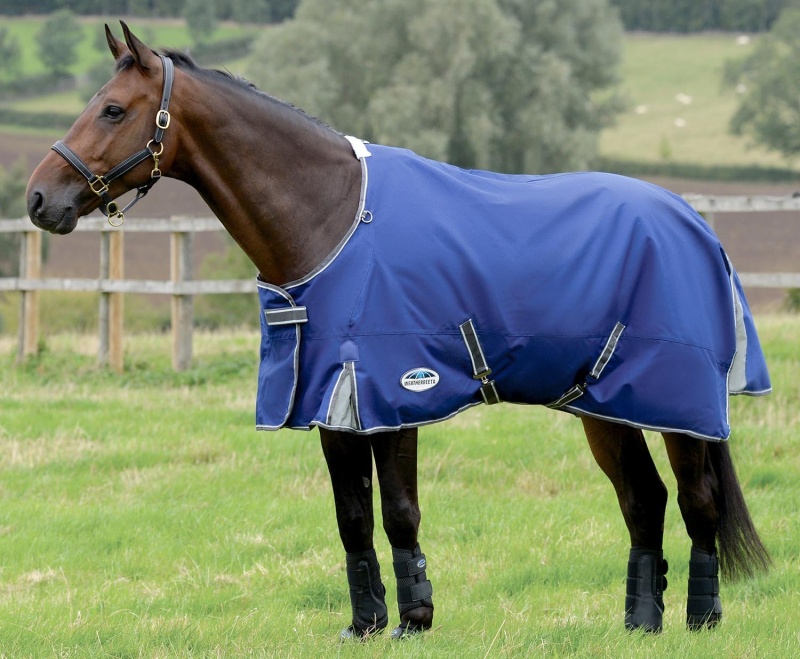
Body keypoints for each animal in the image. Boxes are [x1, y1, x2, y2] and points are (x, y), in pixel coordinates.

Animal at [26, 23, 771, 638]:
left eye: (113, 109)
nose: (38, 199)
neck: (332, 219)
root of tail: (695, 222)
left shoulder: (394, 391)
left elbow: (399, 511)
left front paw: (416, 620)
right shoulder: (332, 401)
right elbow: (352, 518)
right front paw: (365, 624)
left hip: (677, 404)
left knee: (697, 500)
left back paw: (702, 619)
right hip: (604, 404)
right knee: (643, 500)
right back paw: (640, 623)